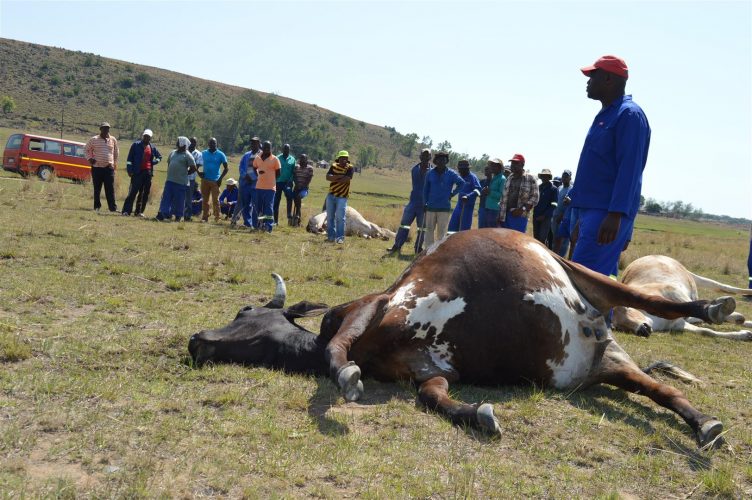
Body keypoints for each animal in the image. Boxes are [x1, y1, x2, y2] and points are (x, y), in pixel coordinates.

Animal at [189, 229, 735, 447]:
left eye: (247, 316)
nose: (197, 339)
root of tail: (595, 334)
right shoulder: (429, 368)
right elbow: (433, 398)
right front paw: (478, 414)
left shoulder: (373, 304)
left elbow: (339, 346)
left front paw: (345, 375)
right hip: (611, 367)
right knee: (661, 390)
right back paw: (704, 423)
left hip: (579, 271)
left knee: (653, 303)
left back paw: (713, 306)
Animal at [613, 255, 752, 340]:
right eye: (615, 326)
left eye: (627, 308)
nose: (643, 329)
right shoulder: (679, 324)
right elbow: (706, 331)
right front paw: (745, 334)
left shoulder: (675, 293)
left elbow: (698, 306)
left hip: (694, 277)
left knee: (723, 287)